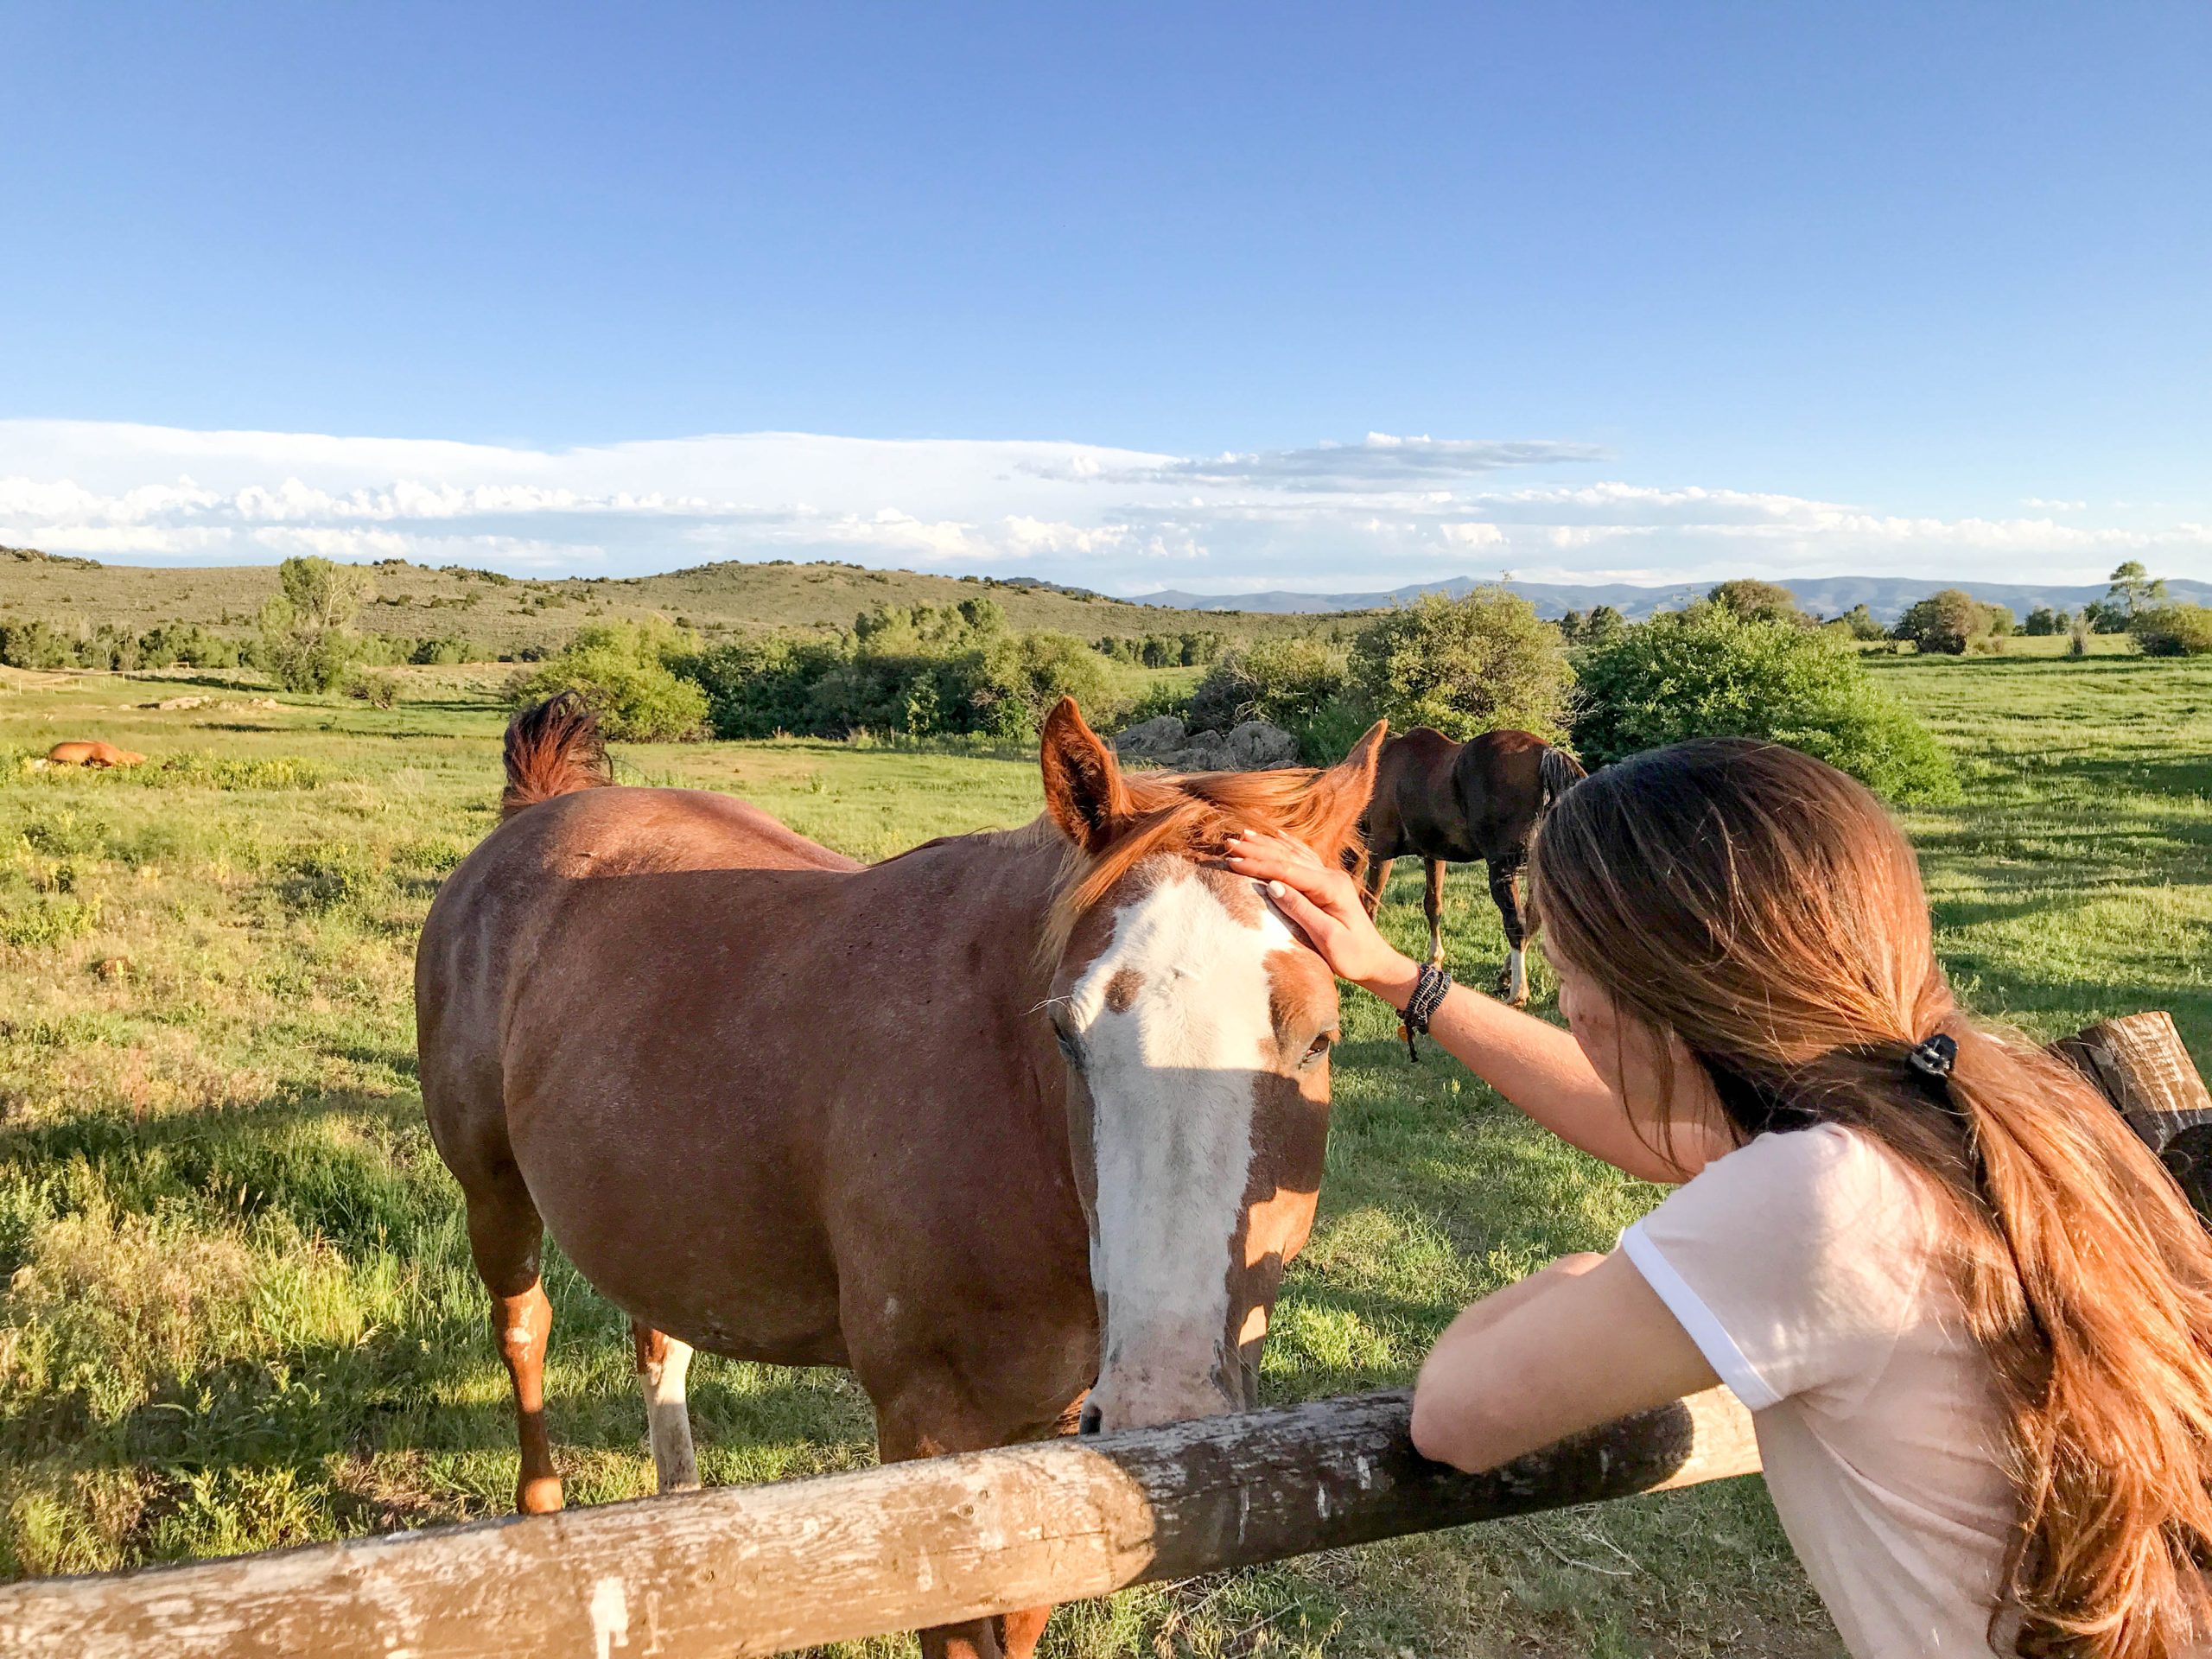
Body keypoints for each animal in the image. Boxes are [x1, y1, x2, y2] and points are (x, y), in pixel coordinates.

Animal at [415, 693, 1386, 1659]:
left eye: (1318, 1038)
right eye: (1064, 1034)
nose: (1166, 1411)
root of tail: (537, 811)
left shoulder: (1055, 1439)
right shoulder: (927, 1446)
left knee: (659, 1339)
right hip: (493, 1195)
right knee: (523, 1330)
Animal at [1358, 726, 1585, 1010]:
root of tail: (1545, 754)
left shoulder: (1381, 850)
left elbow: (1370, 903)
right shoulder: (1433, 856)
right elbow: (1433, 906)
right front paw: (1434, 958)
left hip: (1501, 870)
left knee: (1517, 924)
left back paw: (1517, 991)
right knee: (1532, 919)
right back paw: (1506, 975)